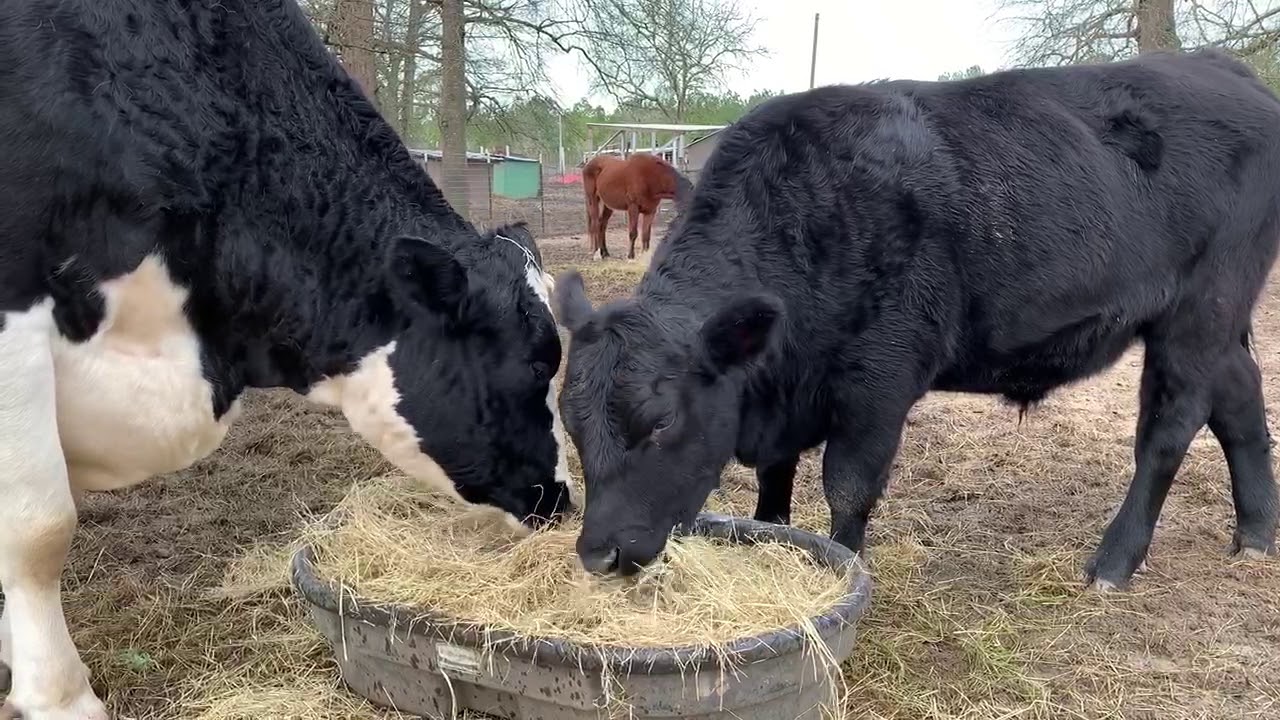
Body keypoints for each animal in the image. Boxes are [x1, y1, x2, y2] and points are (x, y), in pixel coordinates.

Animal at [553, 49, 1280, 599]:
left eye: (661, 422)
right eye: (569, 421)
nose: (598, 555)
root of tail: (1224, 69)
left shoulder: (879, 381)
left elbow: (848, 488)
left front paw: (843, 570)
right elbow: (774, 483)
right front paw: (773, 543)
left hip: (1199, 313)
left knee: (1169, 431)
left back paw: (1114, 562)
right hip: (1218, 322)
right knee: (1241, 400)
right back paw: (1256, 536)